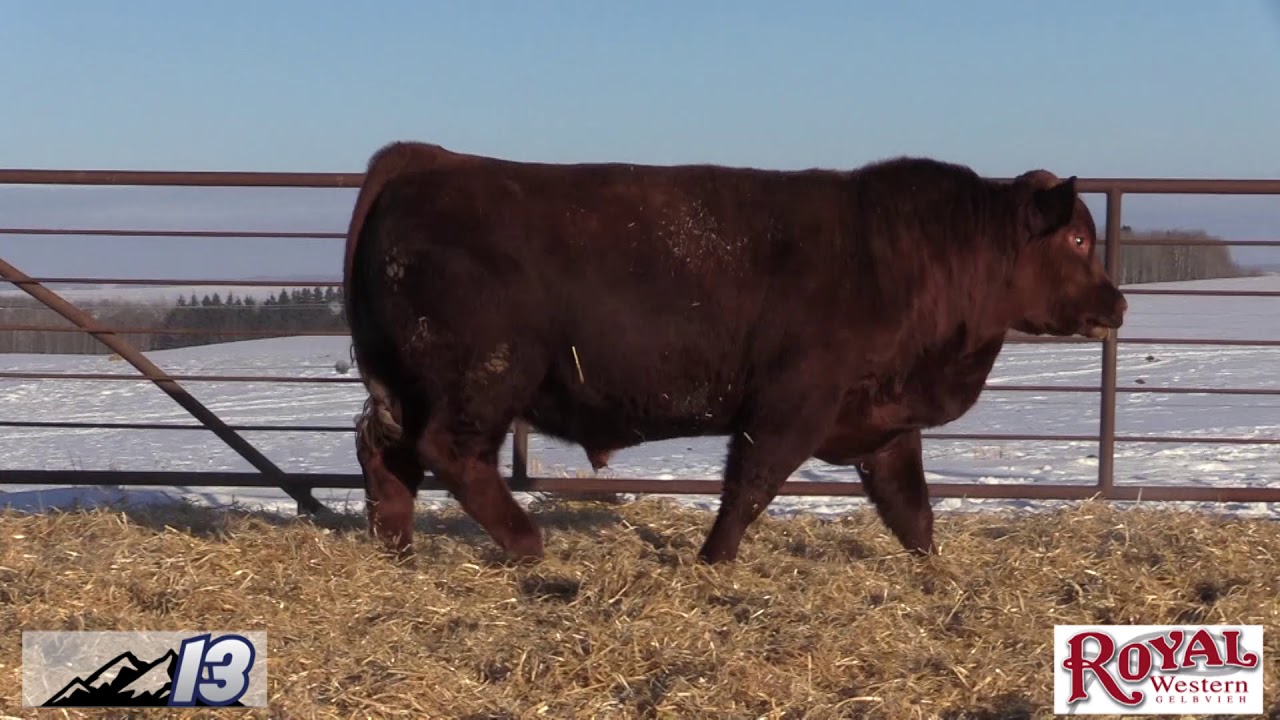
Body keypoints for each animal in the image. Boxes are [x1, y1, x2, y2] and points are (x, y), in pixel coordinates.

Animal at [343, 141, 1127, 564]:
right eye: (1078, 238)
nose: (1117, 303)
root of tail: (423, 160)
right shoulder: (790, 405)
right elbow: (749, 487)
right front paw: (712, 561)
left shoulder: (883, 422)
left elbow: (912, 510)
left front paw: (936, 572)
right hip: (487, 377)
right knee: (450, 453)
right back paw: (527, 544)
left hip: (407, 385)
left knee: (385, 451)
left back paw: (397, 549)